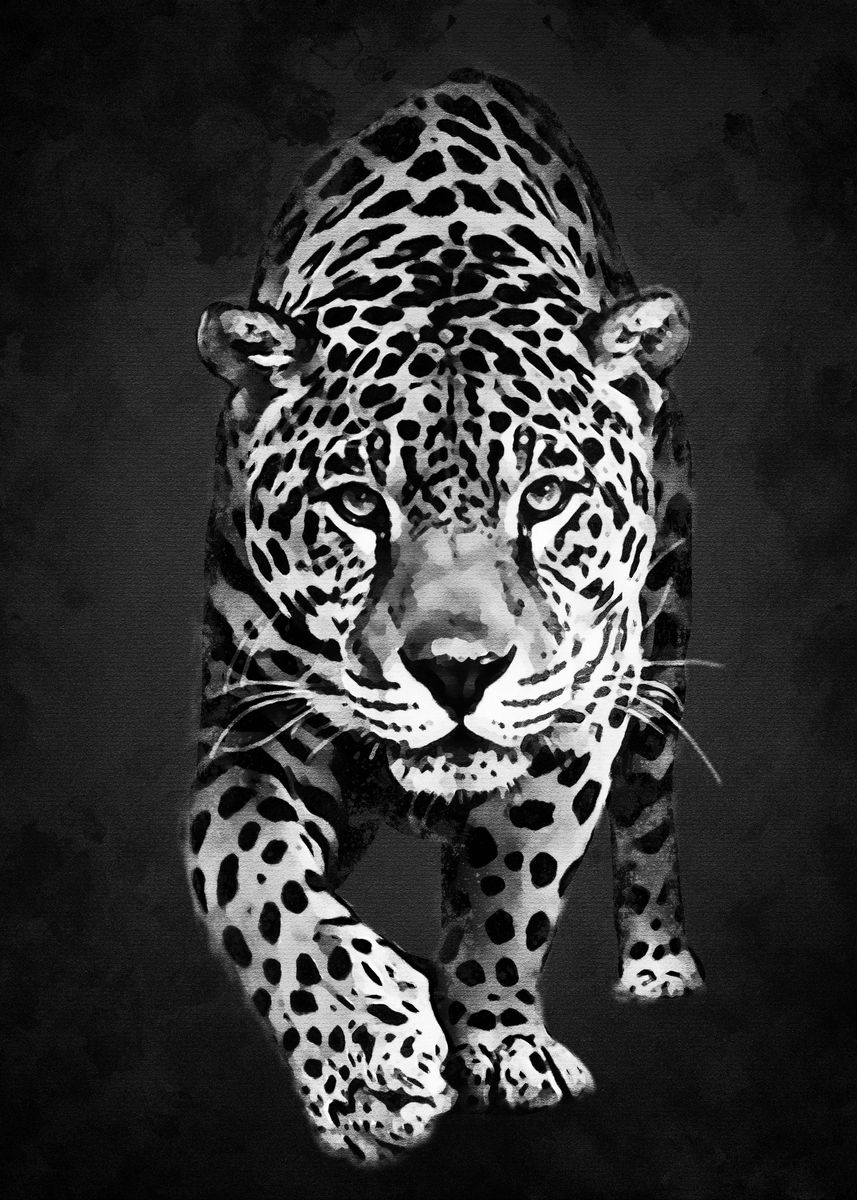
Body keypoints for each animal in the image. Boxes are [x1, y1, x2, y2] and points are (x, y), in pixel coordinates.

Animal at [186, 67, 706, 1167]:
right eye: (355, 505)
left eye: (543, 499)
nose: (458, 668)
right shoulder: (250, 733)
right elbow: (255, 881)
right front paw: (367, 1068)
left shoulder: (573, 720)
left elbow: (509, 892)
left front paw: (500, 1043)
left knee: (649, 809)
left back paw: (656, 966)